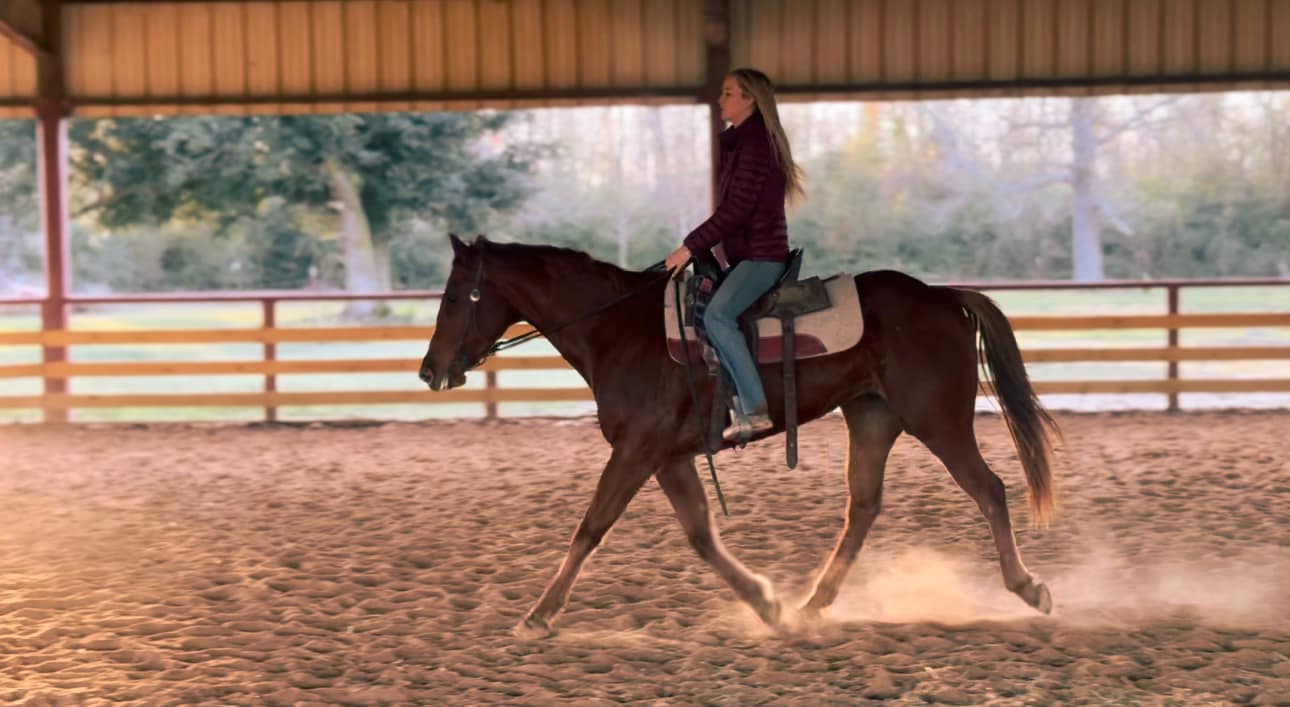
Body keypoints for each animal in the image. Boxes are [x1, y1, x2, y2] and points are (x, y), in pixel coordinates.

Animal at [419, 234, 1060, 638]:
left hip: (938, 419)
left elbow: (591, 527)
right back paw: (811, 604)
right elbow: (701, 535)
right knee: (862, 508)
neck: (617, 331)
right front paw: (767, 605)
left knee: (989, 489)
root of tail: (943, 296)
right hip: (873, 418)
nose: (428, 371)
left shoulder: (636, 450)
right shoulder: (666, 457)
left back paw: (1029, 587)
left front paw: (538, 615)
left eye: (452, 296)